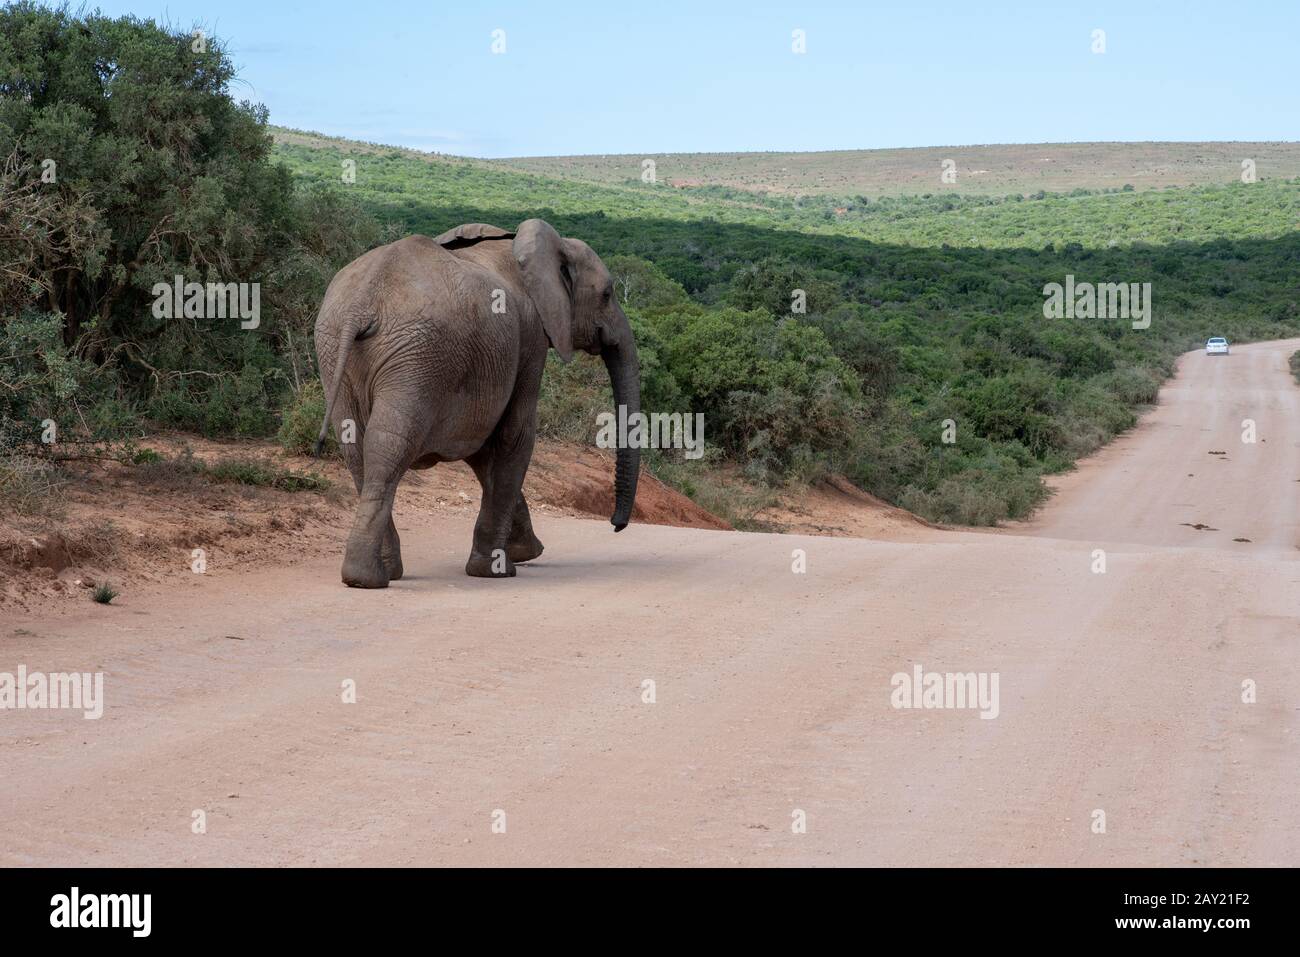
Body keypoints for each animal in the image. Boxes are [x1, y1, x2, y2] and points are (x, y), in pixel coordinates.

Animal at [312, 219, 641, 587]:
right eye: (607, 294)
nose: (616, 525)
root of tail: (363, 302)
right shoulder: (531, 340)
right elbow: (515, 436)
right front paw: (498, 570)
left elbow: (484, 452)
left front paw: (525, 553)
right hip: (418, 356)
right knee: (388, 446)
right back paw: (367, 578)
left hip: (339, 348)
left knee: (356, 449)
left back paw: (377, 573)